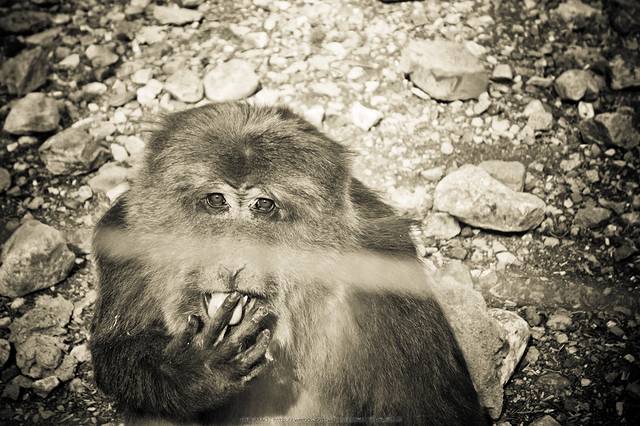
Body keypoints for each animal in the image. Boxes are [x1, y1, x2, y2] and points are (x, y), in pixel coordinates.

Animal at [90, 101, 488, 424]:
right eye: (216, 200)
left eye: (263, 205)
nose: (234, 258)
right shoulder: (127, 238)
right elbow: (115, 352)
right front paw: (194, 373)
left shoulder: (387, 274)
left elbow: (432, 410)